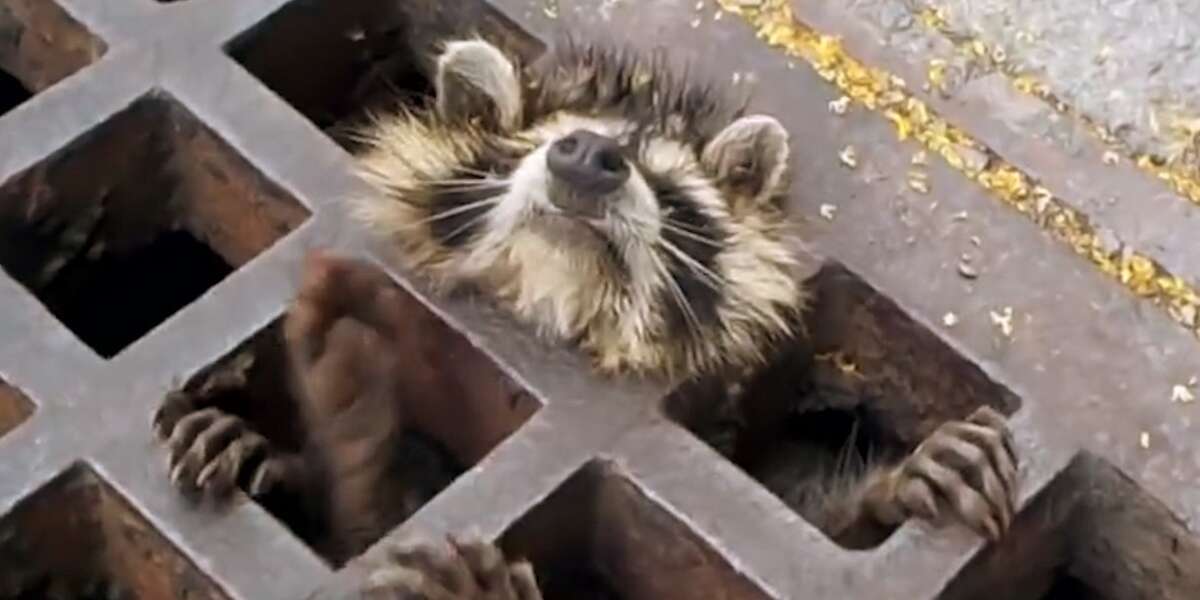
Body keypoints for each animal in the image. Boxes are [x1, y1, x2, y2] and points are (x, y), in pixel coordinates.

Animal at [153, 35, 1018, 600]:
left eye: (673, 192)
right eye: (535, 142)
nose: (589, 159)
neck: (557, 310)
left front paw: (889, 492)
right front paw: (343, 423)